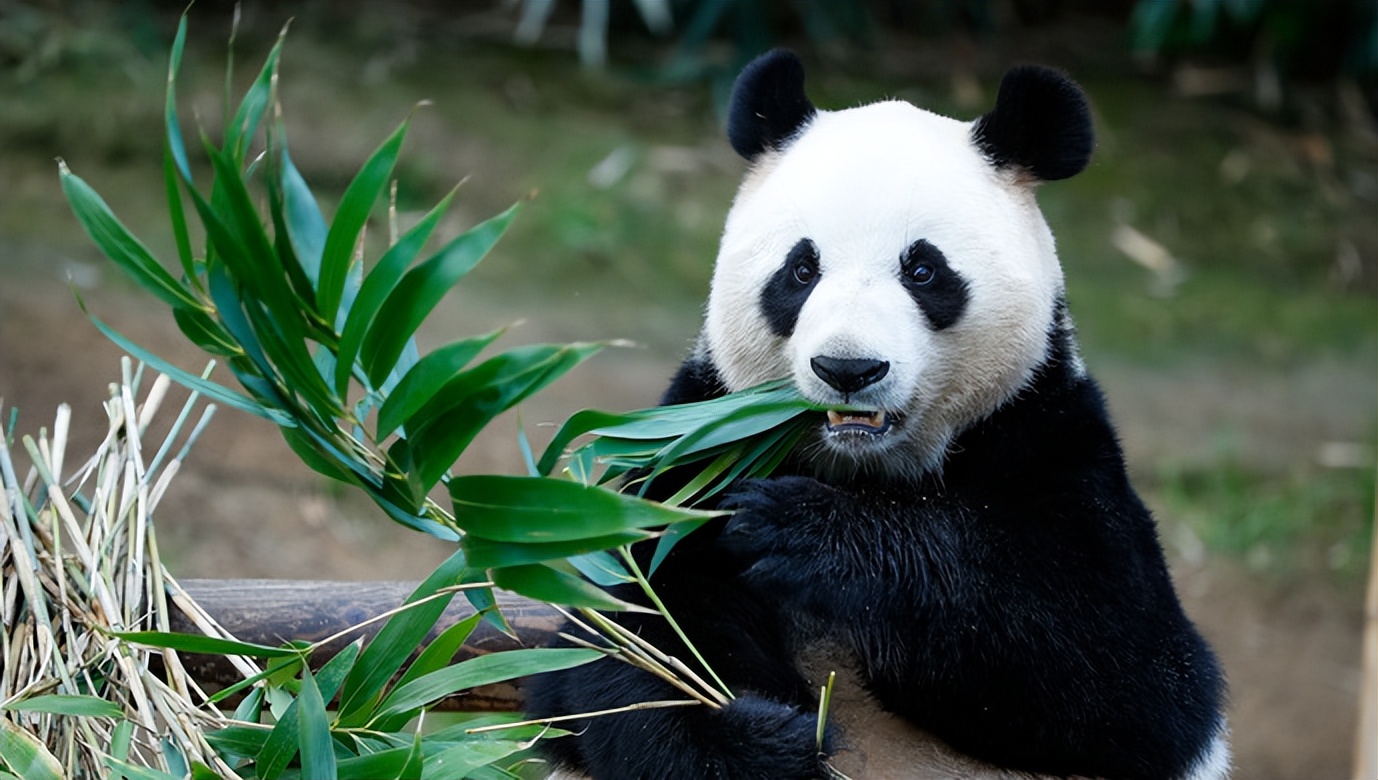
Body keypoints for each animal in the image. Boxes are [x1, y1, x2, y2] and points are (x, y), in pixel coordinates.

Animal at [525, 50, 1229, 780]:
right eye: (801, 270)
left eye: (922, 270)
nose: (848, 369)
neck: (863, 470)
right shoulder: (695, 449)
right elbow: (627, 634)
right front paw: (760, 740)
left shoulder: (1044, 432)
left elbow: (1114, 665)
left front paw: (805, 533)